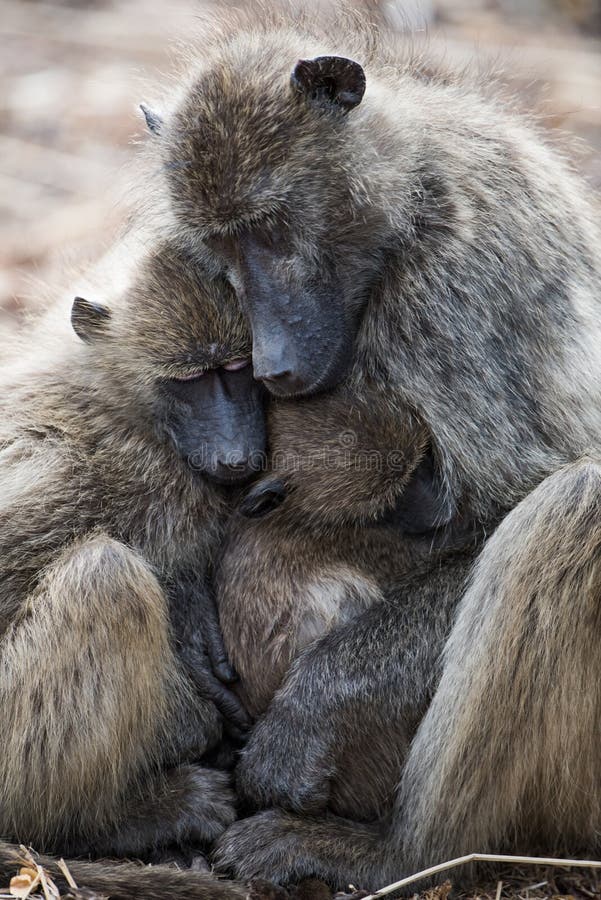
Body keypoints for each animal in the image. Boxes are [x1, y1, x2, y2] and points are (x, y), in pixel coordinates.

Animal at [135, 7, 601, 890]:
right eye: (222, 249)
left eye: (272, 229)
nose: (275, 364)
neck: (407, 200)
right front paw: (185, 606)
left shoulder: (453, 290)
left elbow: (498, 510)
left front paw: (308, 716)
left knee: (572, 506)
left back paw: (398, 854)